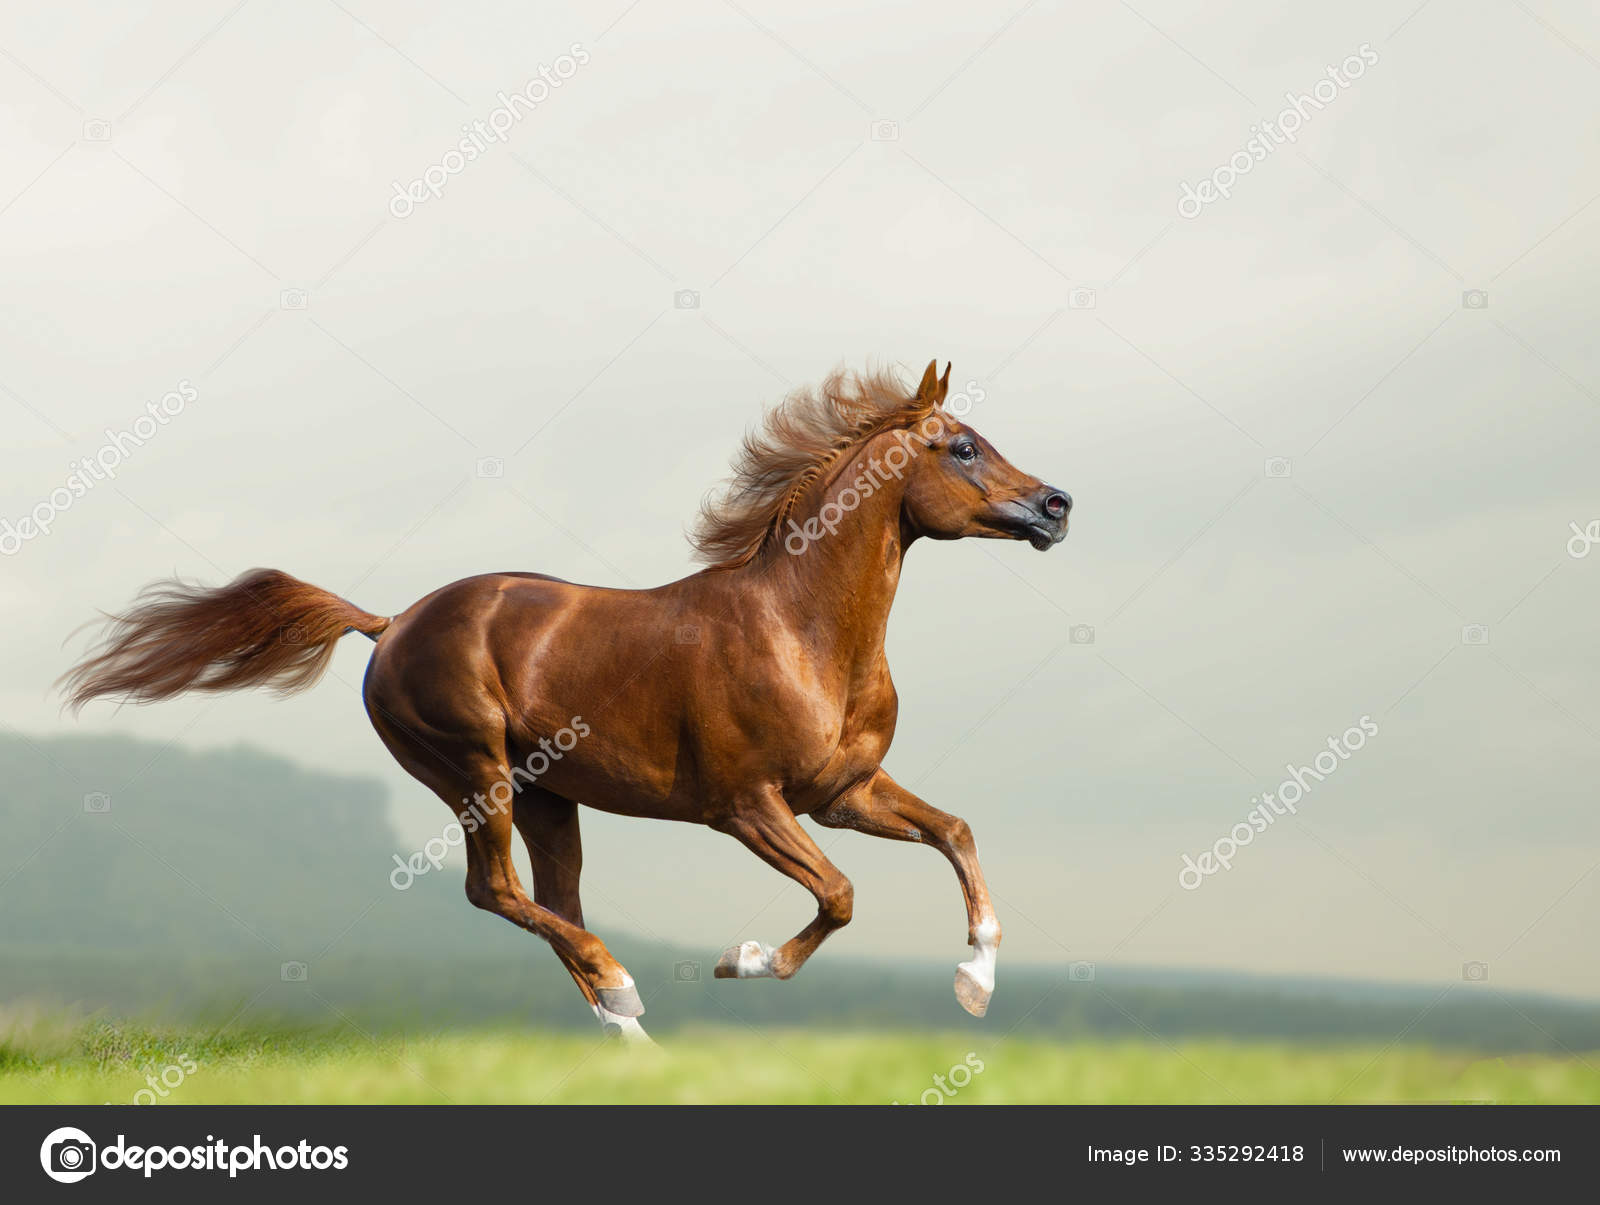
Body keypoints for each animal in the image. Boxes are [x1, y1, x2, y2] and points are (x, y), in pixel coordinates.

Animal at [62, 360, 1071, 1043]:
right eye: (963, 446)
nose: (1057, 505)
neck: (801, 629)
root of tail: (390, 624)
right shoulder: (746, 805)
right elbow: (842, 893)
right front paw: (741, 960)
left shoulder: (843, 792)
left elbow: (954, 832)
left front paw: (975, 982)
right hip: (472, 770)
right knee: (497, 890)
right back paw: (623, 990)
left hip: (549, 792)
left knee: (554, 902)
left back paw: (630, 1030)